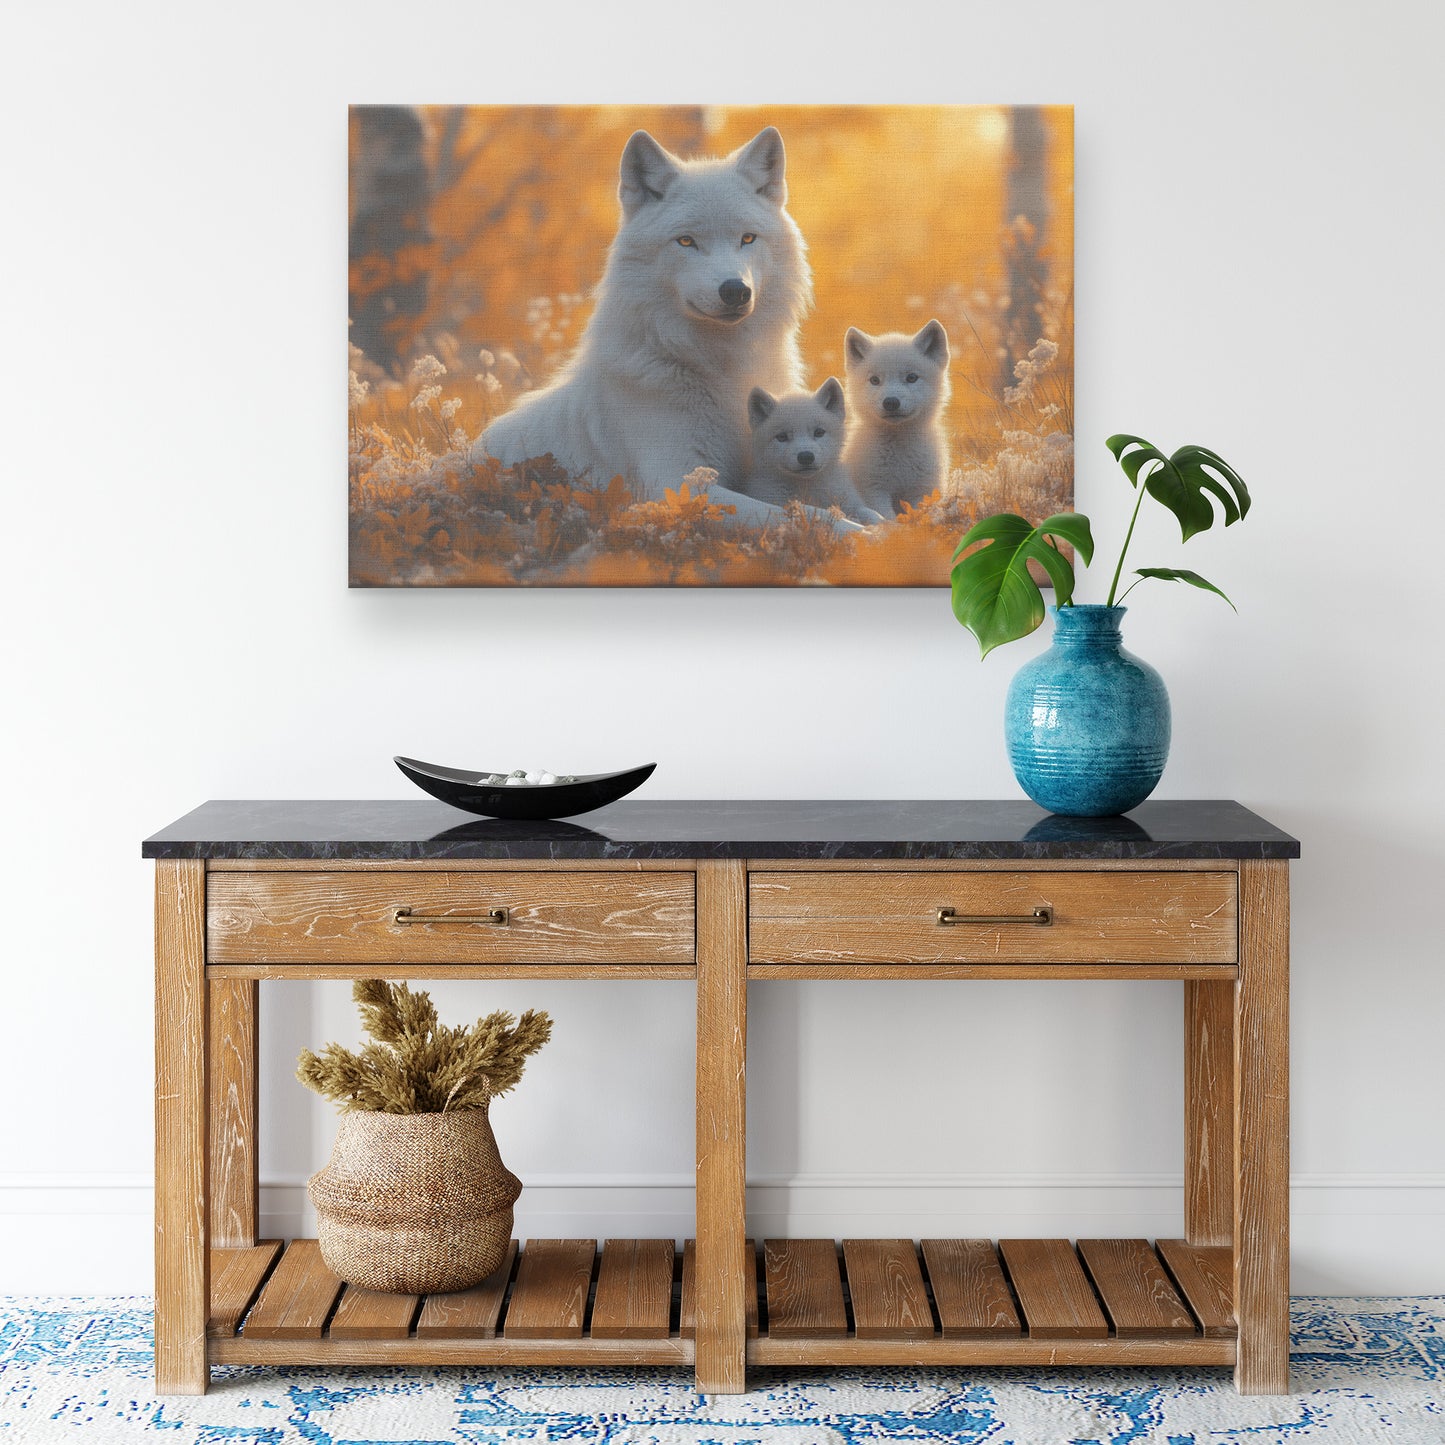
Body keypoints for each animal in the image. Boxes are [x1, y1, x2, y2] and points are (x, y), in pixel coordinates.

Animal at [477, 126, 833, 526]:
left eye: (747, 238)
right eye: (686, 241)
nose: (735, 290)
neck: (723, 369)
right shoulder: (677, 485)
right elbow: (799, 516)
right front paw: (867, 534)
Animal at [742, 379, 885, 524]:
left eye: (819, 432)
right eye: (782, 437)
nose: (806, 457)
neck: (809, 486)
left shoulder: (850, 501)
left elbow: (869, 512)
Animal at [843, 320, 951, 516]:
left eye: (911, 377)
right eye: (875, 380)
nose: (891, 402)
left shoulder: (922, 490)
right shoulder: (874, 490)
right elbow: (888, 518)